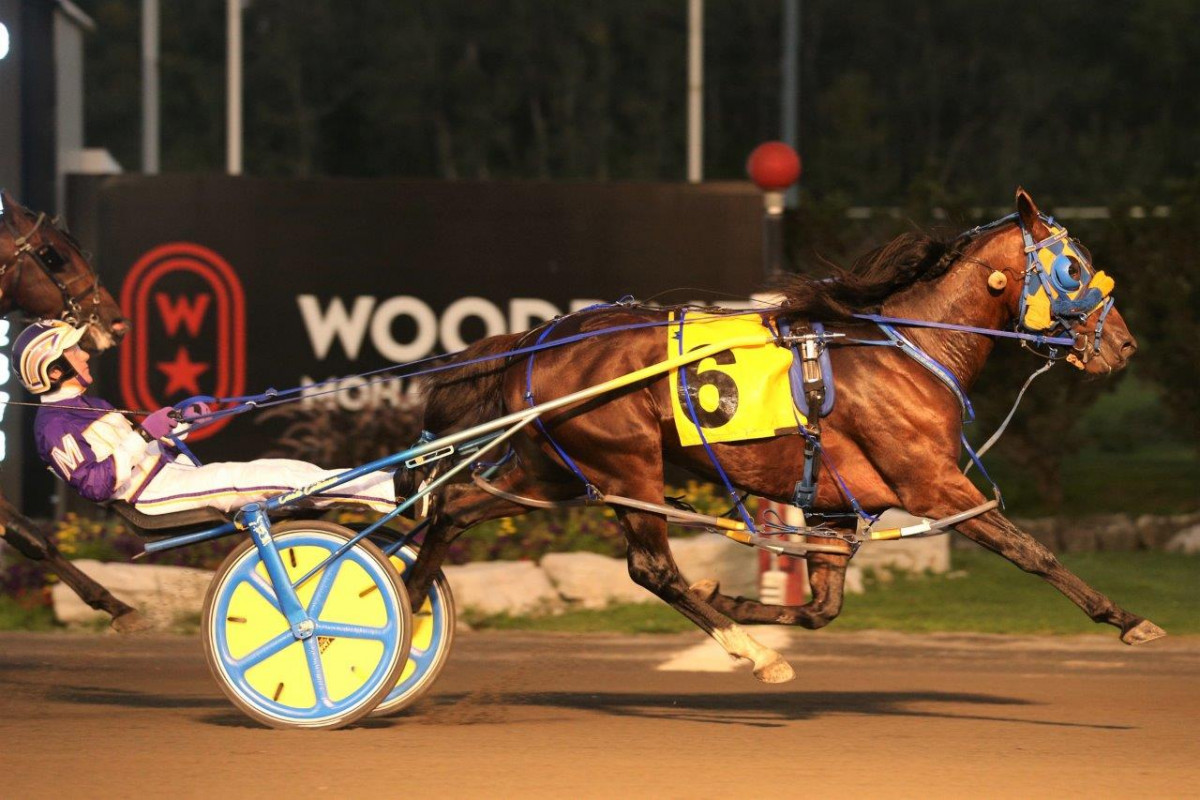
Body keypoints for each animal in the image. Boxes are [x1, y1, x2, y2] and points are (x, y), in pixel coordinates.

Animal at [397, 188, 1163, 682]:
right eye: (1073, 267)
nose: (1125, 344)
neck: (911, 349)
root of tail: (538, 338)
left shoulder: (835, 507)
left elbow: (824, 607)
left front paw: (735, 596)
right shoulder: (935, 485)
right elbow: (1032, 551)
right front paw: (1128, 618)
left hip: (552, 471)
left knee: (453, 507)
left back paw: (404, 615)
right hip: (625, 464)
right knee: (650, 568)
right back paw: (754, 653)